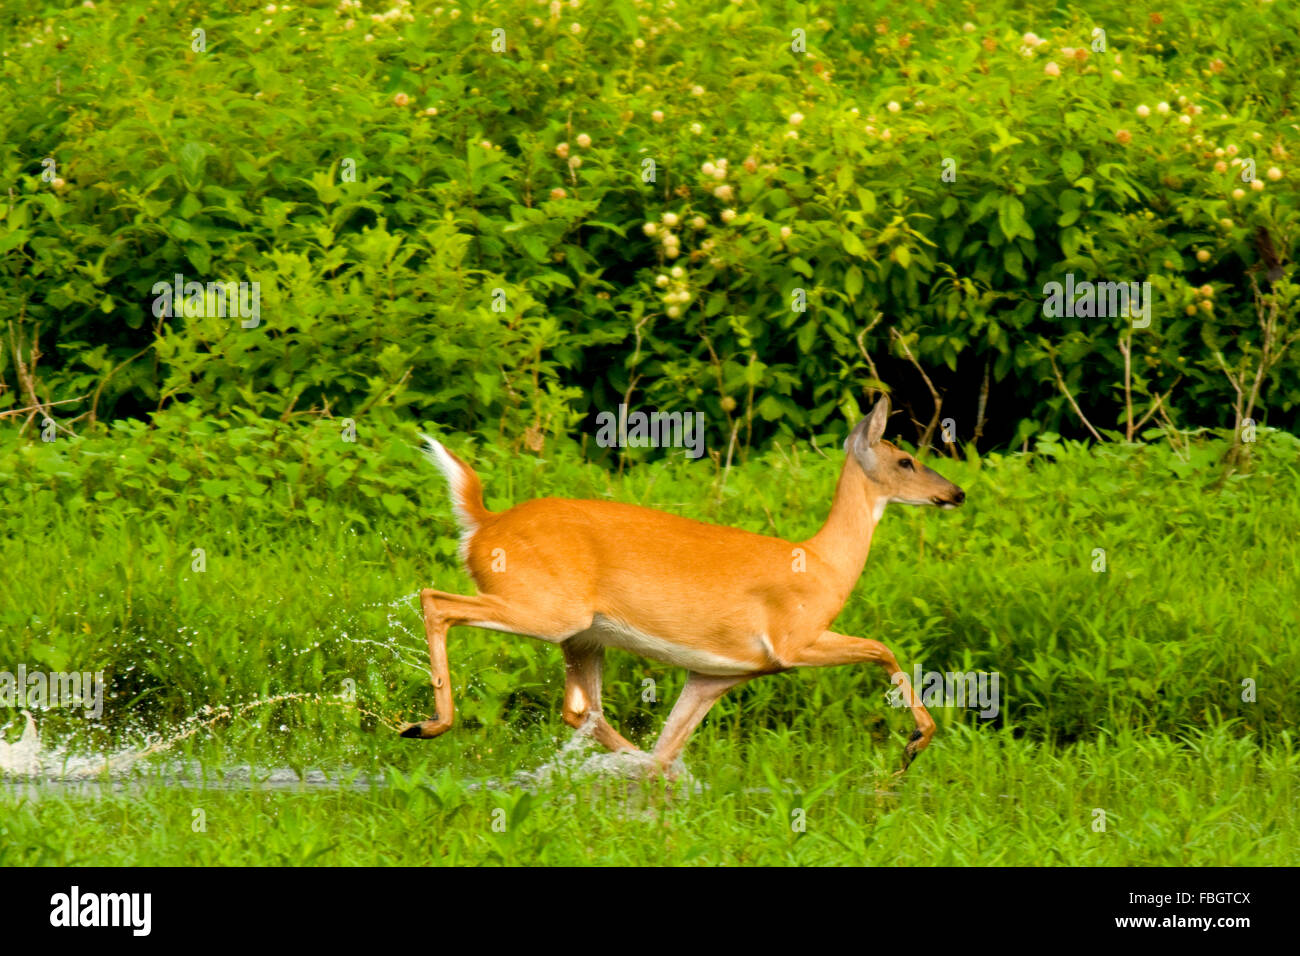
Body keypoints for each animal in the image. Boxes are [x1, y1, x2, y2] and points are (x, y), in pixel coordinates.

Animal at [400, 394, 966, 775]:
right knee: (435, 600)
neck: (824, 564)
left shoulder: (717, 673)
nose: (956, 493)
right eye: (905, 460)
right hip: (547, 609)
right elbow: (882, 647)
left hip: (581, 636)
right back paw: (425, 724)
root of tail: (482, 524)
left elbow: (672, 740)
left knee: (581, 710)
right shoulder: (792, 640)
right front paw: (915, 742)